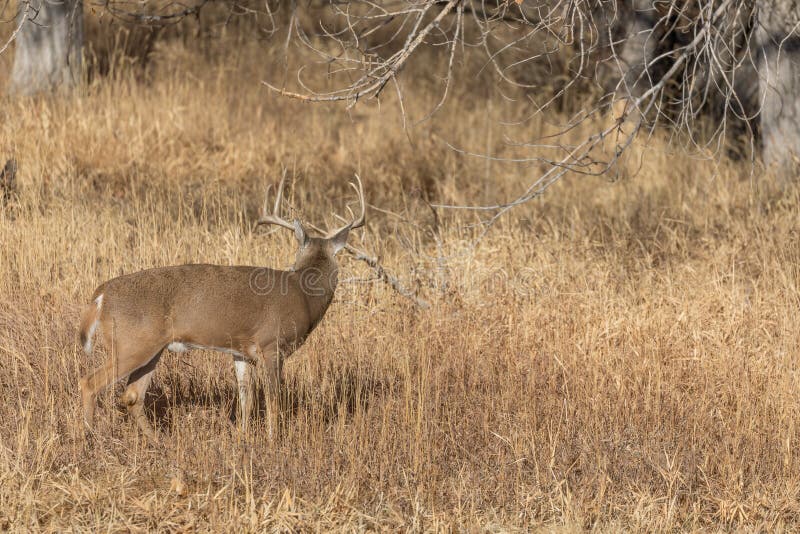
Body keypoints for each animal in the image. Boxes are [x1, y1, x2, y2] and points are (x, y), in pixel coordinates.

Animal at [77, 173, 365, 442]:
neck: (304, 294)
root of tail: (101, 295)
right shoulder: (272, 345)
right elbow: (273, 398)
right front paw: (273, 440)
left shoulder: (241, 351)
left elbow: (247, 398)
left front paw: (243, 437)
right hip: (131, 343)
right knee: (90, 383)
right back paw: (90, 438)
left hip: (152, 348)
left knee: (132, 395)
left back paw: (159, 442)